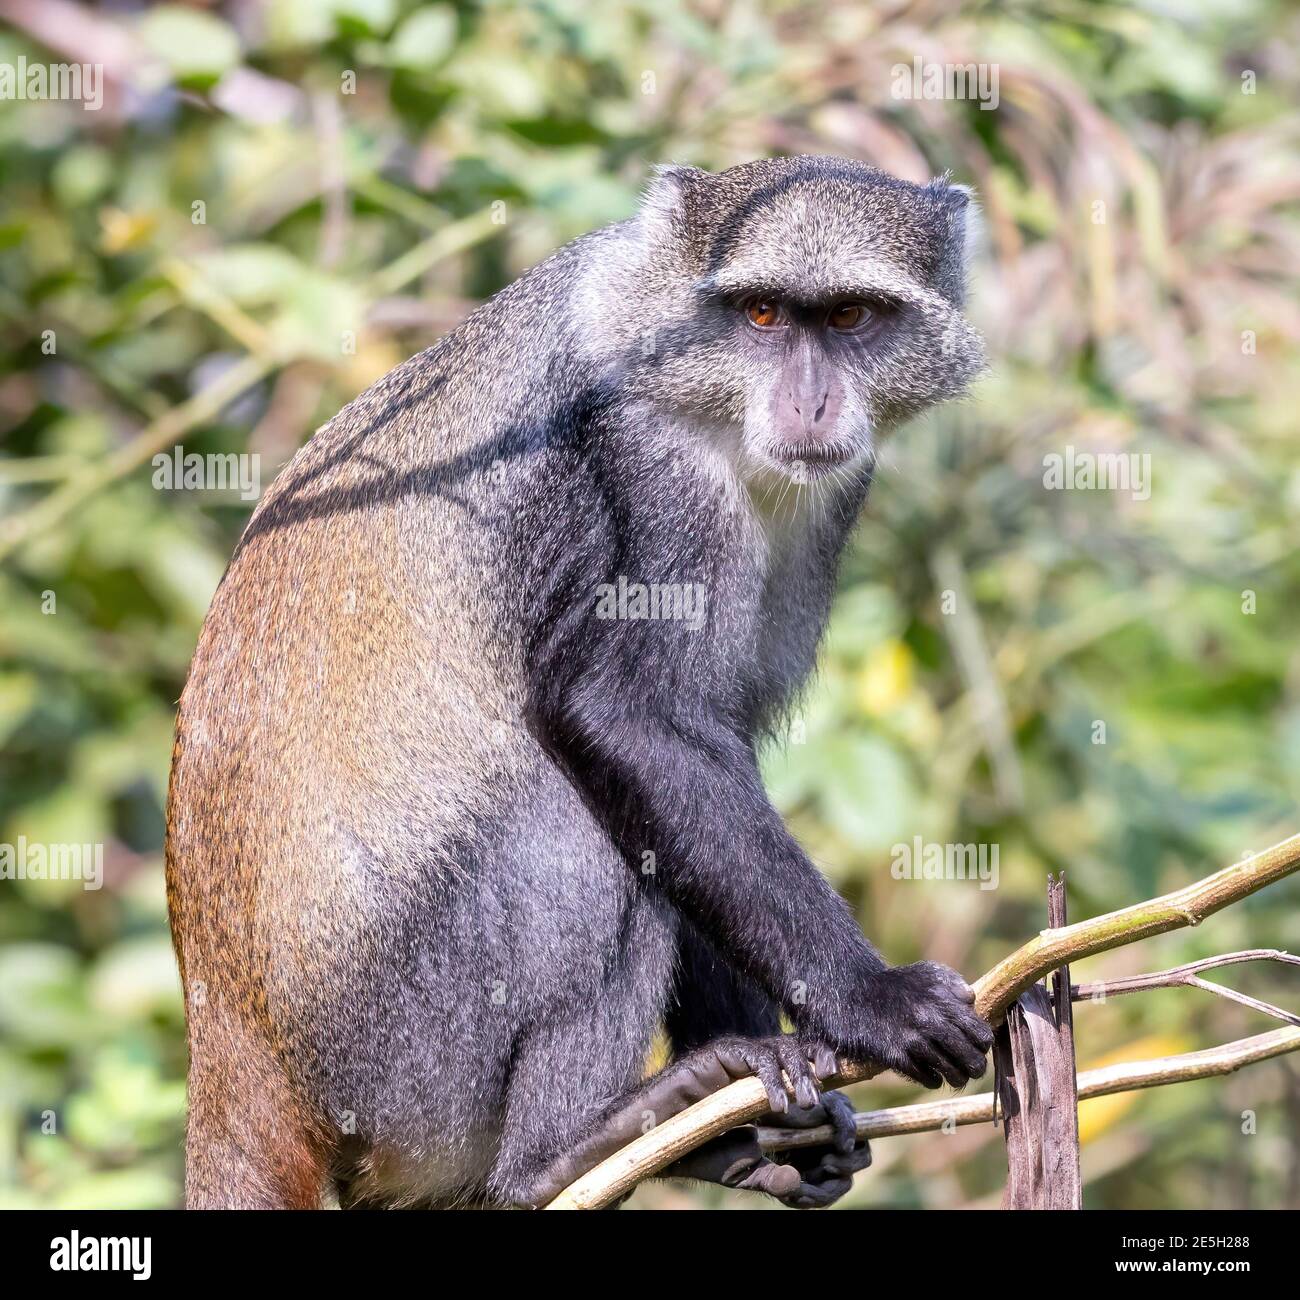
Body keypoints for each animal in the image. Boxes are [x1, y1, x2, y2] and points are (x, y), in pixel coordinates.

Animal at [165, 154, 993, 1211]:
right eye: (763, 314)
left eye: (849, 316)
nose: (809, 404)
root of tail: (236, 1051)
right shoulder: (652, 463)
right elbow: (628, 721)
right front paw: (871, 1003)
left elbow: (705, 754)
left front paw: (784, 1105)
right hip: (403, 1053)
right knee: (587, 837)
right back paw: (561, 1153)